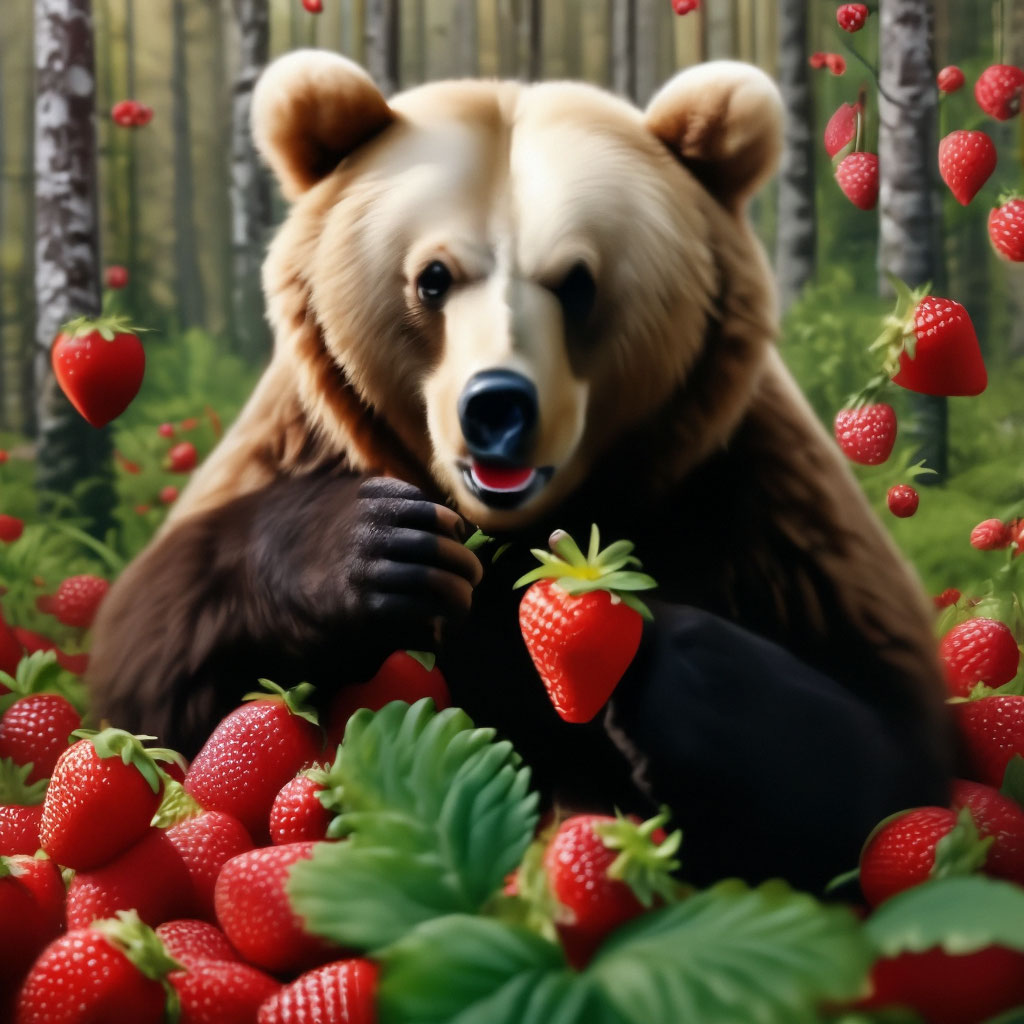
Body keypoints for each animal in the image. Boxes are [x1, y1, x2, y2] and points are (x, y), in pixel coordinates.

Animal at [87, 51, 952, 891]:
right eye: (433, 277)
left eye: (578, 282)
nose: (497, 407)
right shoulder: (300, 438)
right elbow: (155, 679)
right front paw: (384, 546)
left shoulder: (749, 493)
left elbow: (889, 749)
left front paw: (653, 663)